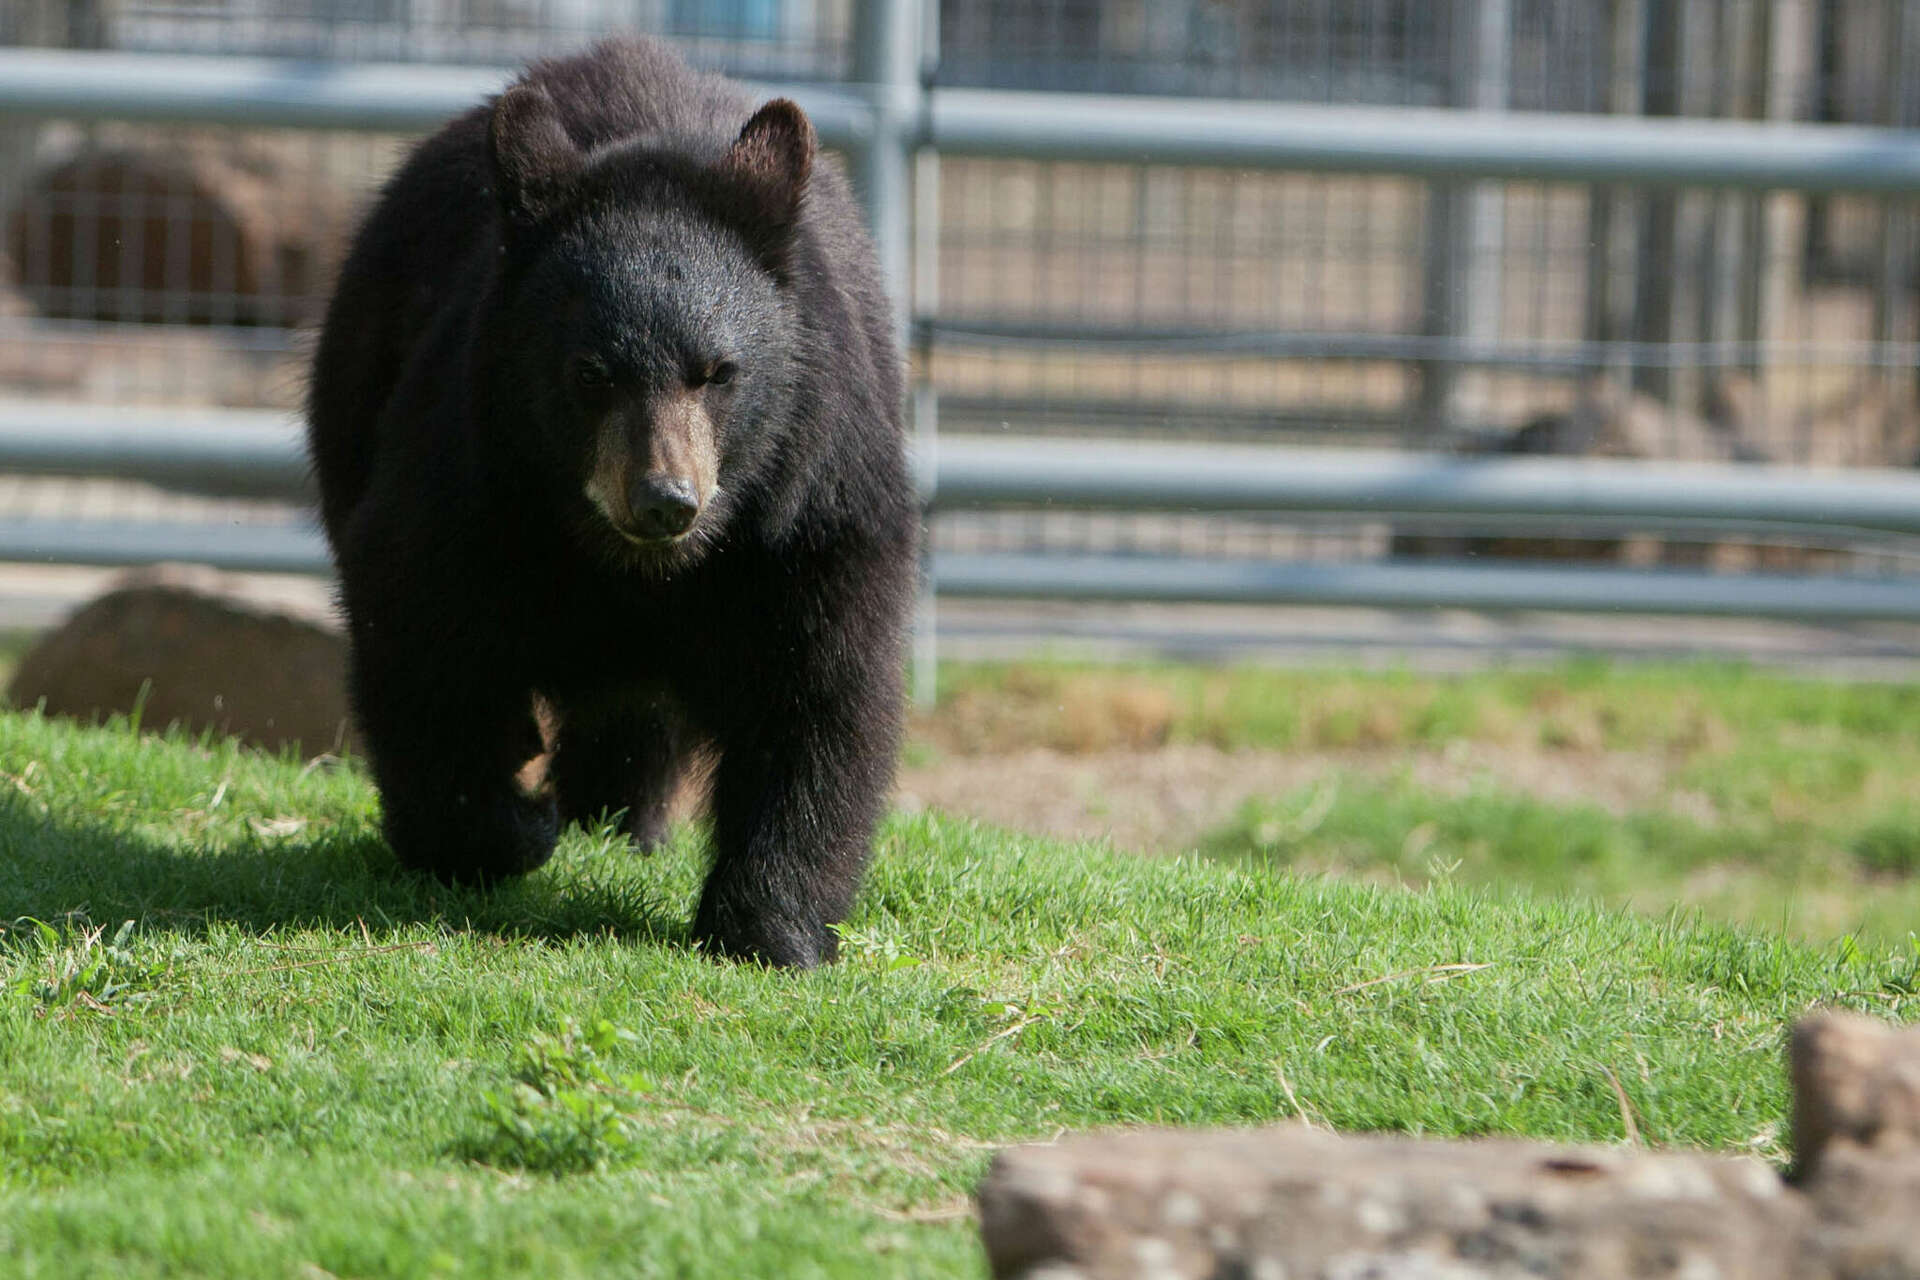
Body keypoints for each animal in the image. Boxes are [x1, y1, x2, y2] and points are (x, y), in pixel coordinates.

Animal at [305, 37, 916, 969]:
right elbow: (423, 637)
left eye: (719, 372)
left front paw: (772, 927)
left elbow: (819, 690)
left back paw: (622, 816)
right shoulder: (471, 477)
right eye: (591, 373)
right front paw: (504, 829)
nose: (666, 499)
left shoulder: (811, 511)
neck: (636, 569)